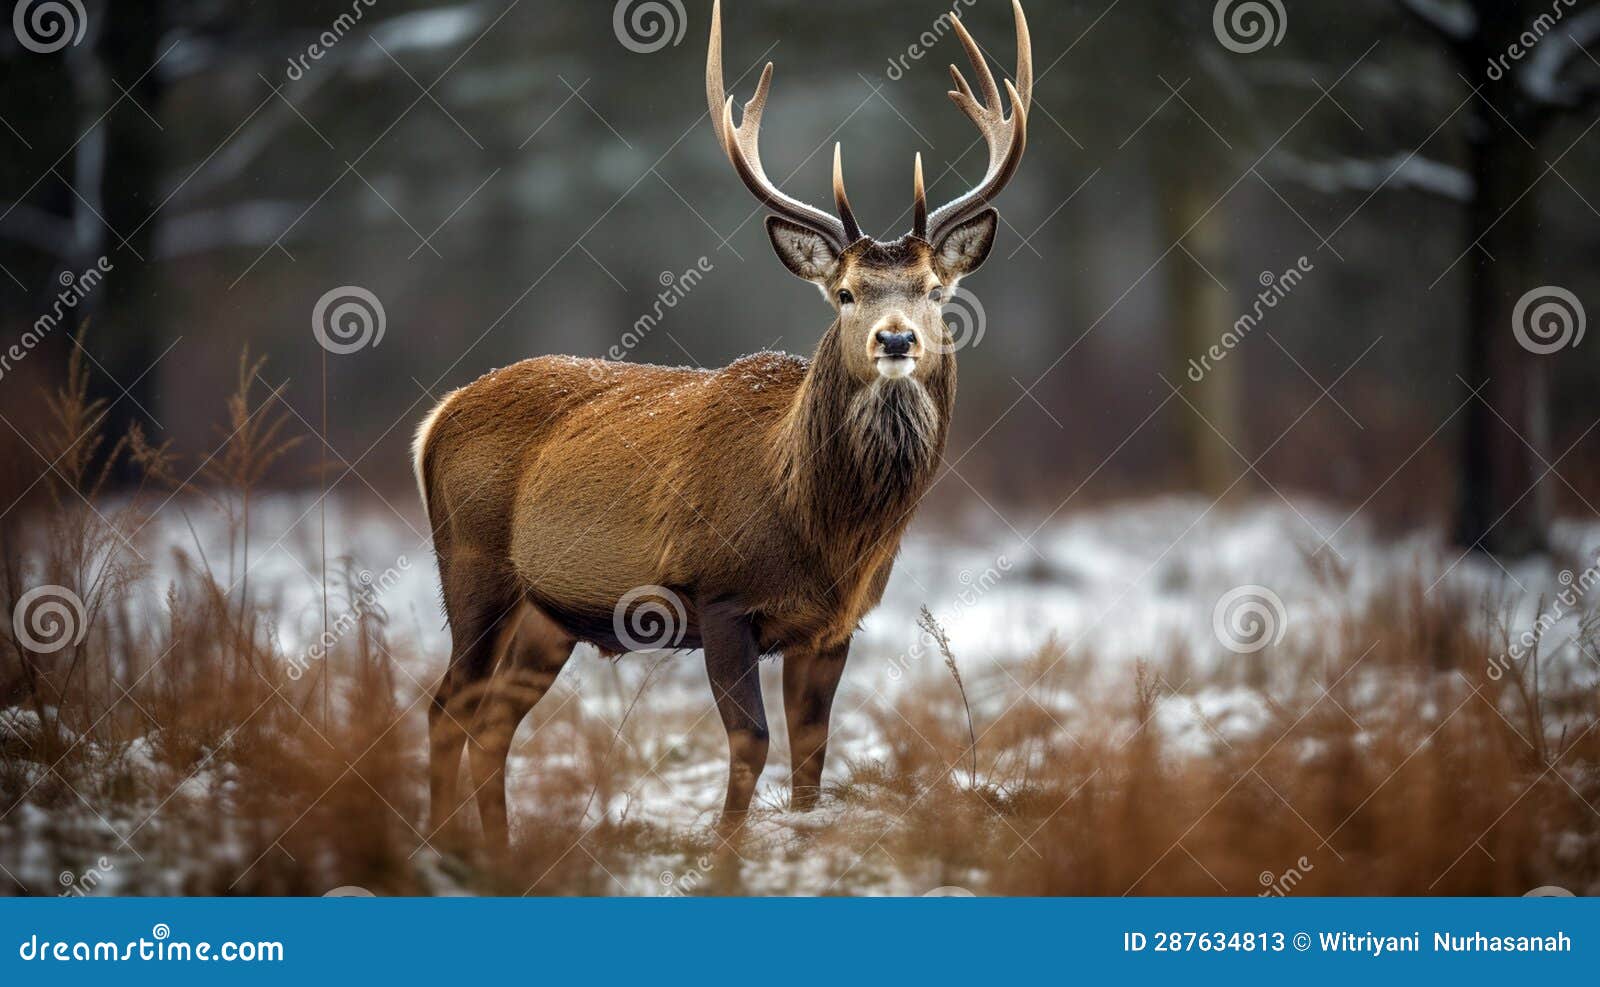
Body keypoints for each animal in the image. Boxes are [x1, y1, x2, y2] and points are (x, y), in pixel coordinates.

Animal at [414, 0, 1031, 849]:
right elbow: (751, 741)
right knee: (447, 706)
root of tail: (435, 418)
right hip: (473, 567)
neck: (824, 528)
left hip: (547, 613)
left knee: (492, 722)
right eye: (845, 291)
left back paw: (497, 853)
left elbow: (811, 756)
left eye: (936, 288)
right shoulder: (719, 596)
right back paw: (447, 851)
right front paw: (726, 854)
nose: (897, 339)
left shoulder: (835, 625)